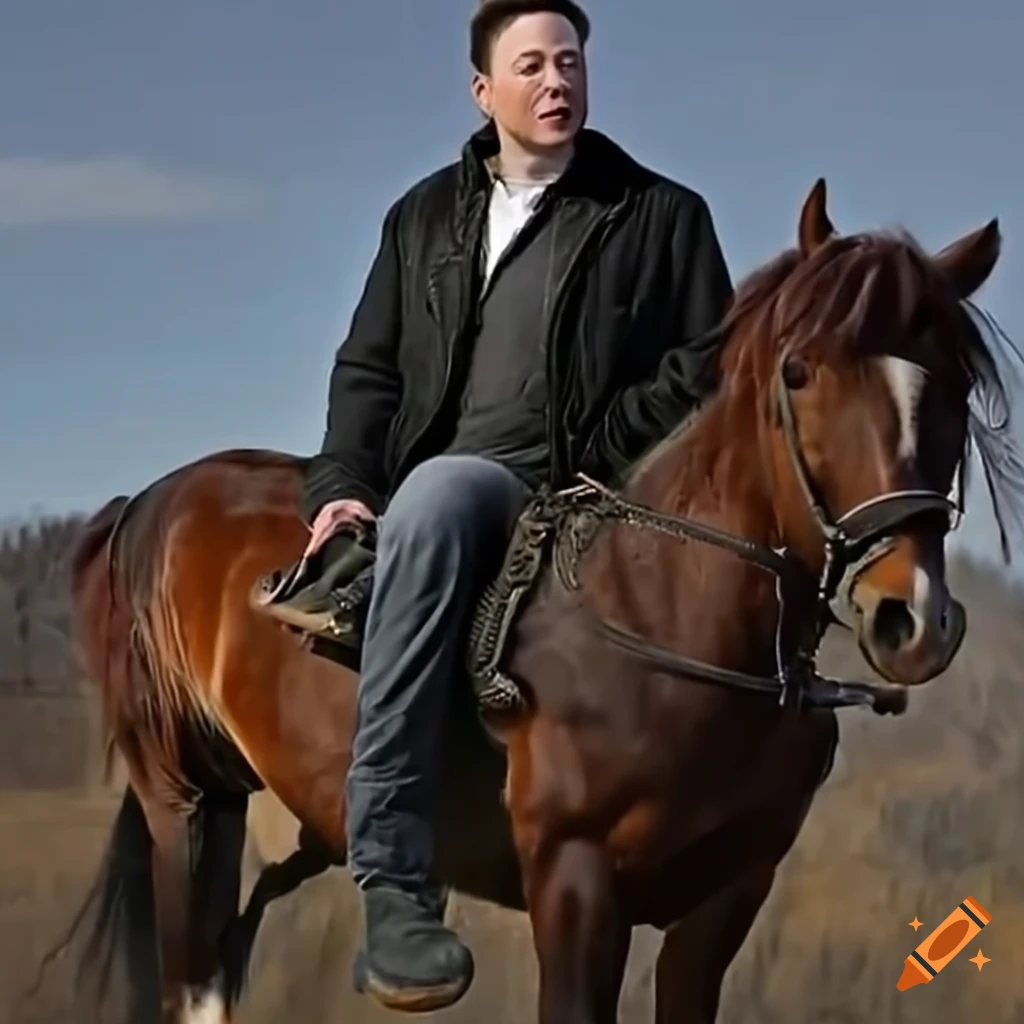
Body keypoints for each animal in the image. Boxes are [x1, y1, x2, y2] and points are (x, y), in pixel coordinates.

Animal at [52, 178, 1024, 1024]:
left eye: (956, 383)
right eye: (799, 371)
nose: (911, 617)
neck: (665, 617)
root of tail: (142, 507)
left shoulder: (724, 900)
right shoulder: (576, 883)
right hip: (185, 801)